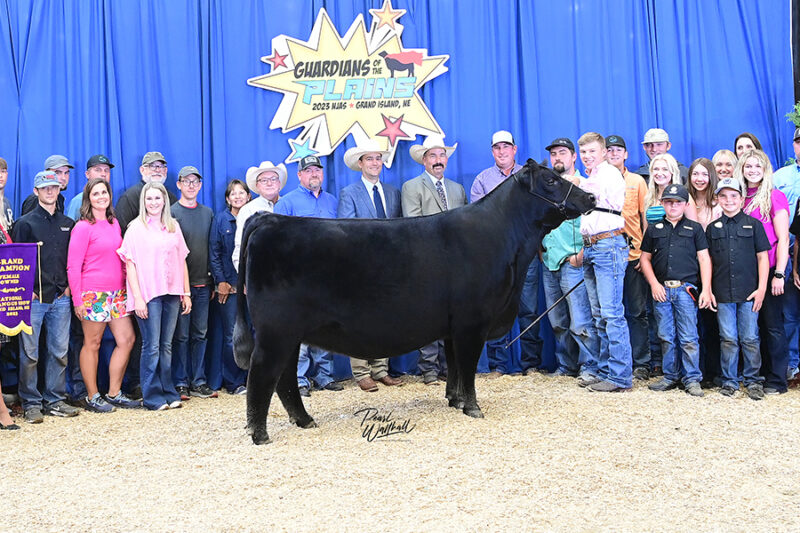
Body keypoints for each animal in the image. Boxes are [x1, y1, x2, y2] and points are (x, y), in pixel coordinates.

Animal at [233, 159, 595, 444]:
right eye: (552, 180)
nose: (590, 196)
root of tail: (269, 218)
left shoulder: (453, 326)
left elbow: (454, 364)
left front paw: (454, 400)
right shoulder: (472, 322)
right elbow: (467, 366)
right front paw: (473, 407)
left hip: (290, 335)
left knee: (285, 378)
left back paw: (304, 420)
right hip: (276, 331)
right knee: (262, 374)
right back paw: (259, 434)